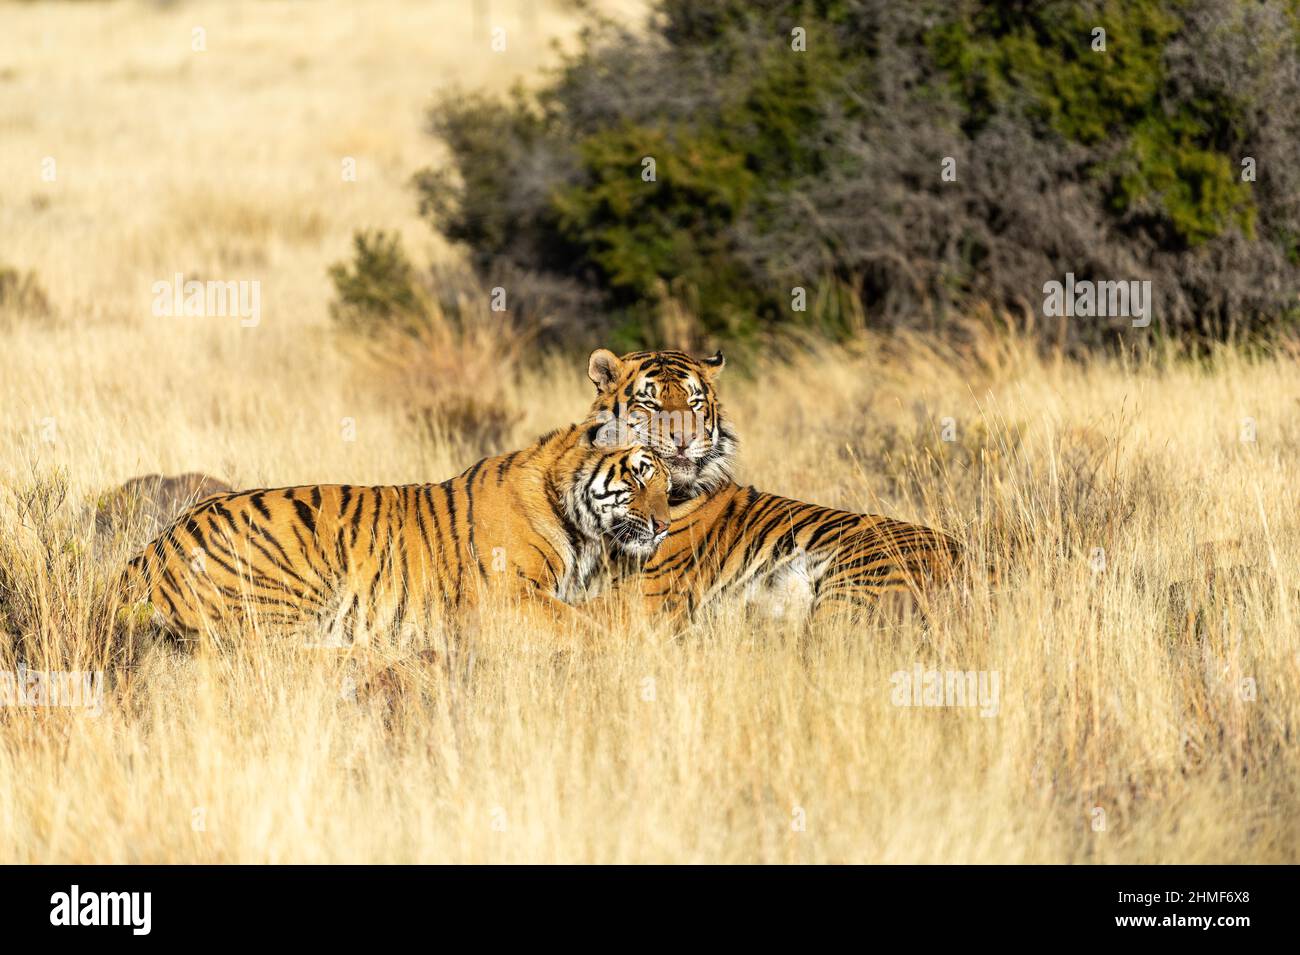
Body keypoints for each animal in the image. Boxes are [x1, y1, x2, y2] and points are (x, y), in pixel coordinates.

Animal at [117, 422, 671, 645]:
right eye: (639, 476)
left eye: (667, 484)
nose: (665, 526)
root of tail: (156, 546)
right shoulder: (506, 600)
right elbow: (584, 626)